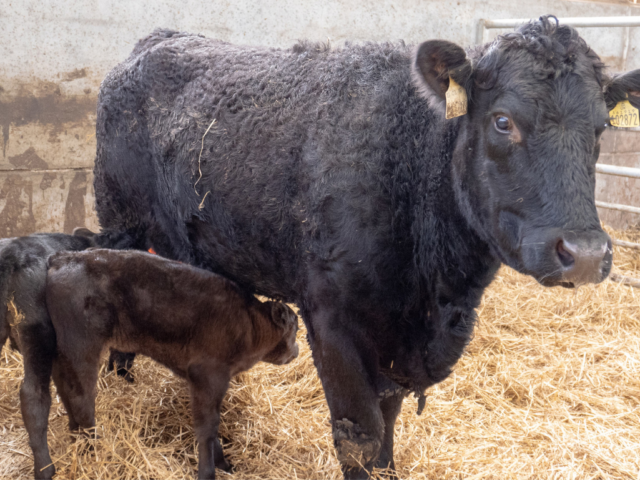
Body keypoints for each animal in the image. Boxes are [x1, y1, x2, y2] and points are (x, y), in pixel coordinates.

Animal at [45, 248, 299, 480]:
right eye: (295, 329)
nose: (297, 350)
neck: (249, 325)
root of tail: (65, 257)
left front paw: (224, 465)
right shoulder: (208, 375)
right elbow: (208, 427)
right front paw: (210, 471)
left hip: (64, 352)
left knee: (65, 390)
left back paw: (76, 439)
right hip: (82, 347)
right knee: (81, 398)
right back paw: (92, 448)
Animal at [92, 16, 640, 478]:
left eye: (602, 128)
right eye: (503, 121)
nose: (586, 254)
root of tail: (158, 38)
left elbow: (388, 424)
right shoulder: (332, 320)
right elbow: (361, 437)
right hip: (121, 222)